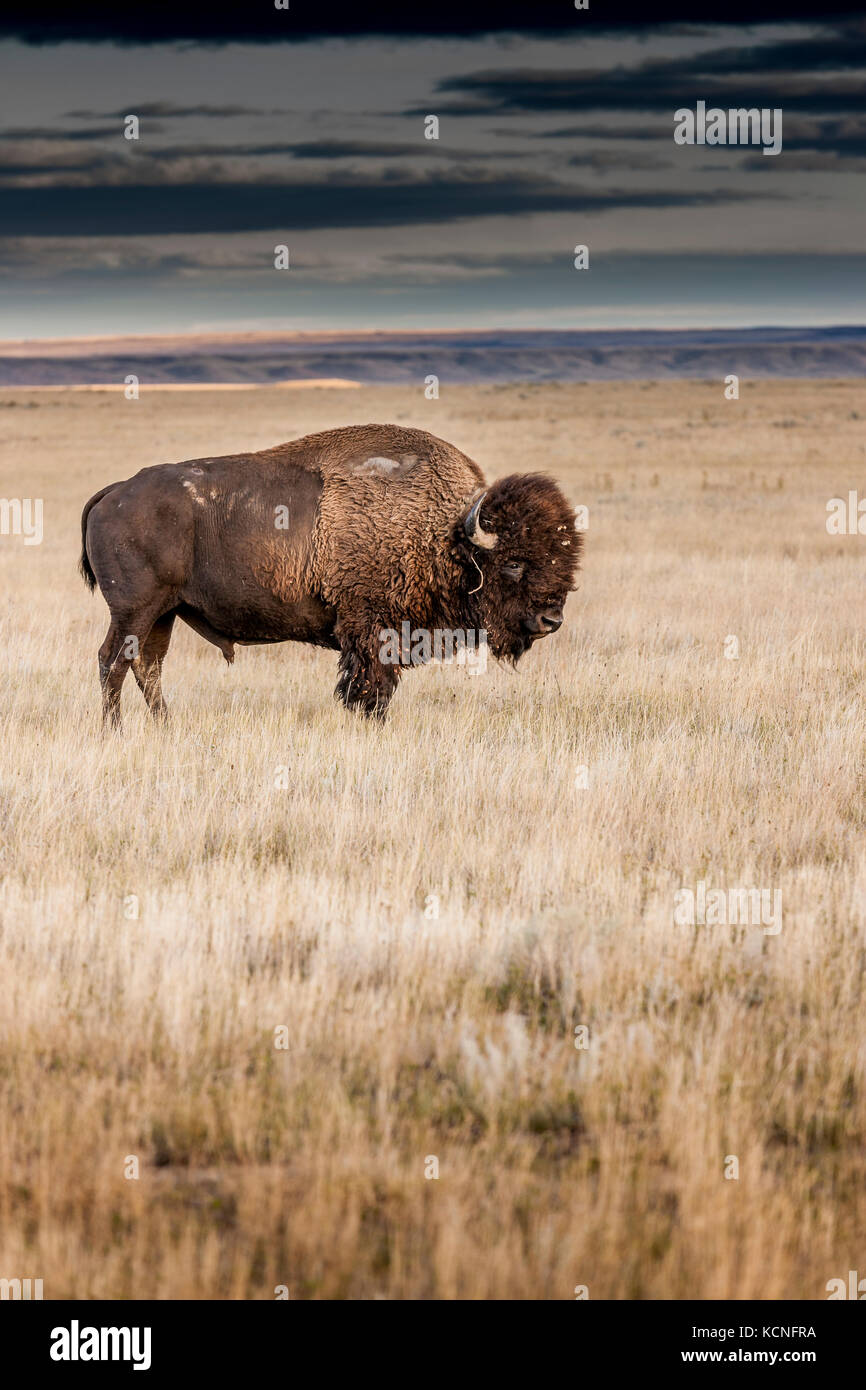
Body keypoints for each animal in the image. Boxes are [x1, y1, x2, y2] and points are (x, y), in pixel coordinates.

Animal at [80, 423, 580, 724]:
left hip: (164, 612)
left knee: (147, 665)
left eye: (566, 560)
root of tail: (115, 492)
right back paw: (114, 730)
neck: (446, 532)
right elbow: (371, 684)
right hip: (134, 610)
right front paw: (370, 720)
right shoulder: (370, 628)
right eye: (514, 562)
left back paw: (165, 725)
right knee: (113, 661)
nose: (550, 620)